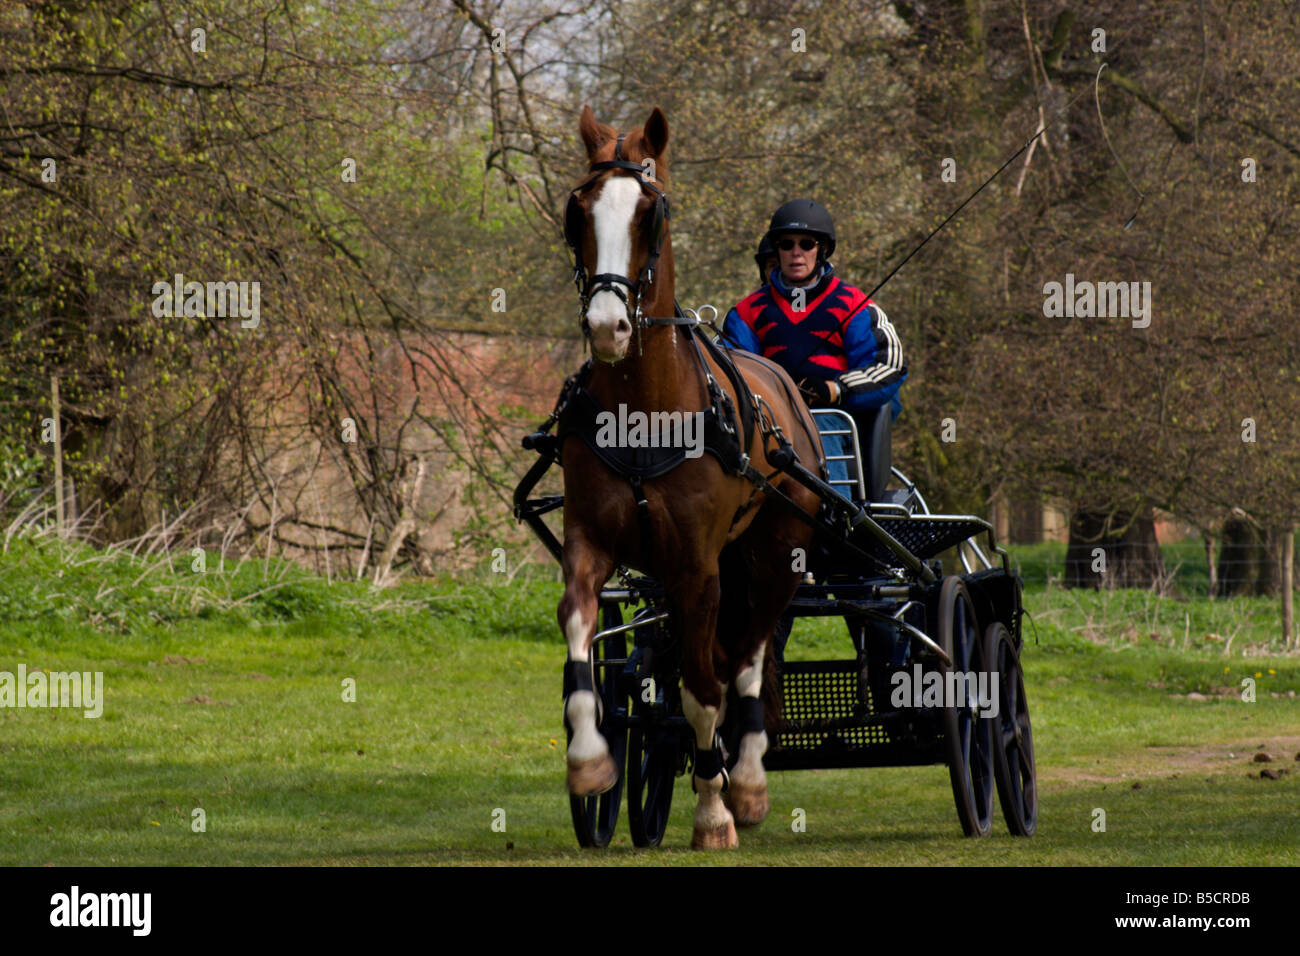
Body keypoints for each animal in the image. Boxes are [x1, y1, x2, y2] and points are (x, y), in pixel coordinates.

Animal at [555, 105, 825, 849]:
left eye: (652, 214)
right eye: (577, 211)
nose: (608, 326)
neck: (645, 411)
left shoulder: (697, 567)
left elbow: (703, 688)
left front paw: (713, 811)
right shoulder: (591, 543)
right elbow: (579, 630)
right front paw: (591, 763)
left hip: (776, 555)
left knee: (751, 656)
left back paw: (749, 780)